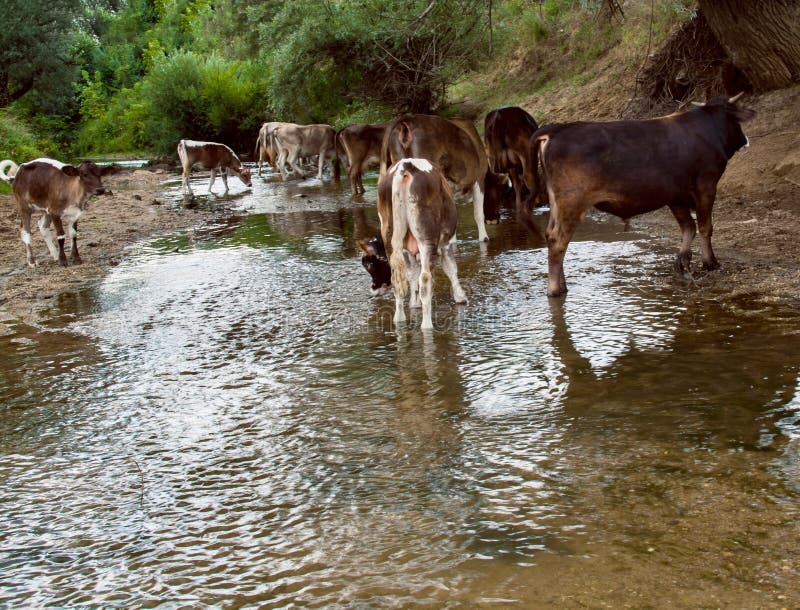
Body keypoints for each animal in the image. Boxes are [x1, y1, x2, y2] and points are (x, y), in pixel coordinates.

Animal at [377, 158, 467, 330]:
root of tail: (404, 167)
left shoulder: (407, 252)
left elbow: (411, 274)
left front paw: (414, 303)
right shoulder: (446, 243)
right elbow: (451, 268)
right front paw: (461, 297)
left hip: (390, 237)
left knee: (397, 279)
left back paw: (399, 319)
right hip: (427, 238)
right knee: (425, 278)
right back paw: (427, 325)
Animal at [526, 94, 755, 297]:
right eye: (735, 119)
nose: (745, 140)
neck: (706, 129)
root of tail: (559, 128)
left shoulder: (675, 195)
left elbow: (688, 227)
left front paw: (682, 262)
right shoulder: (706, 185)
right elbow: (705, 226)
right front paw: (710, 263)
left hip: (556, 204)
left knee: (551, 235)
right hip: (571, 203)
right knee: (558, 241)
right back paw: (555, 290)